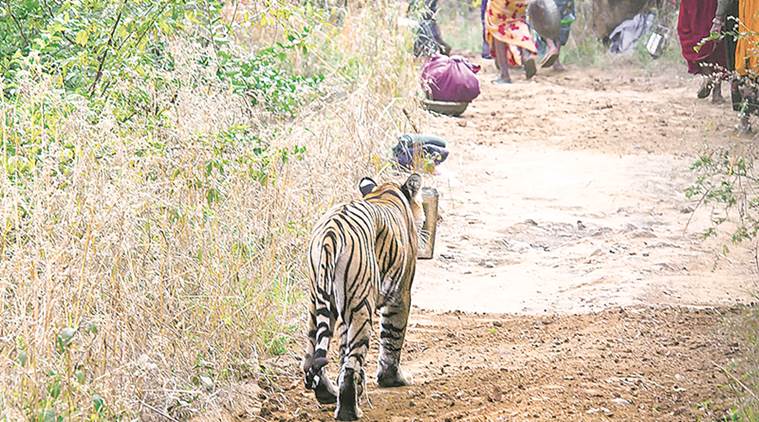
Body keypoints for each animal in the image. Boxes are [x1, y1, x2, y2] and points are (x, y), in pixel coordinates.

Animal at [302, 173, 425, 421]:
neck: (385, 191)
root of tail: (331, 231)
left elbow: (342, 350)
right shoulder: (401, 294)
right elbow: (392, 338)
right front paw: (392, 379)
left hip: (317, 302)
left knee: (312, 355)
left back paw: (328, 394)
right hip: (361, 307)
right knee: (352, 363)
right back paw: (349, 411)